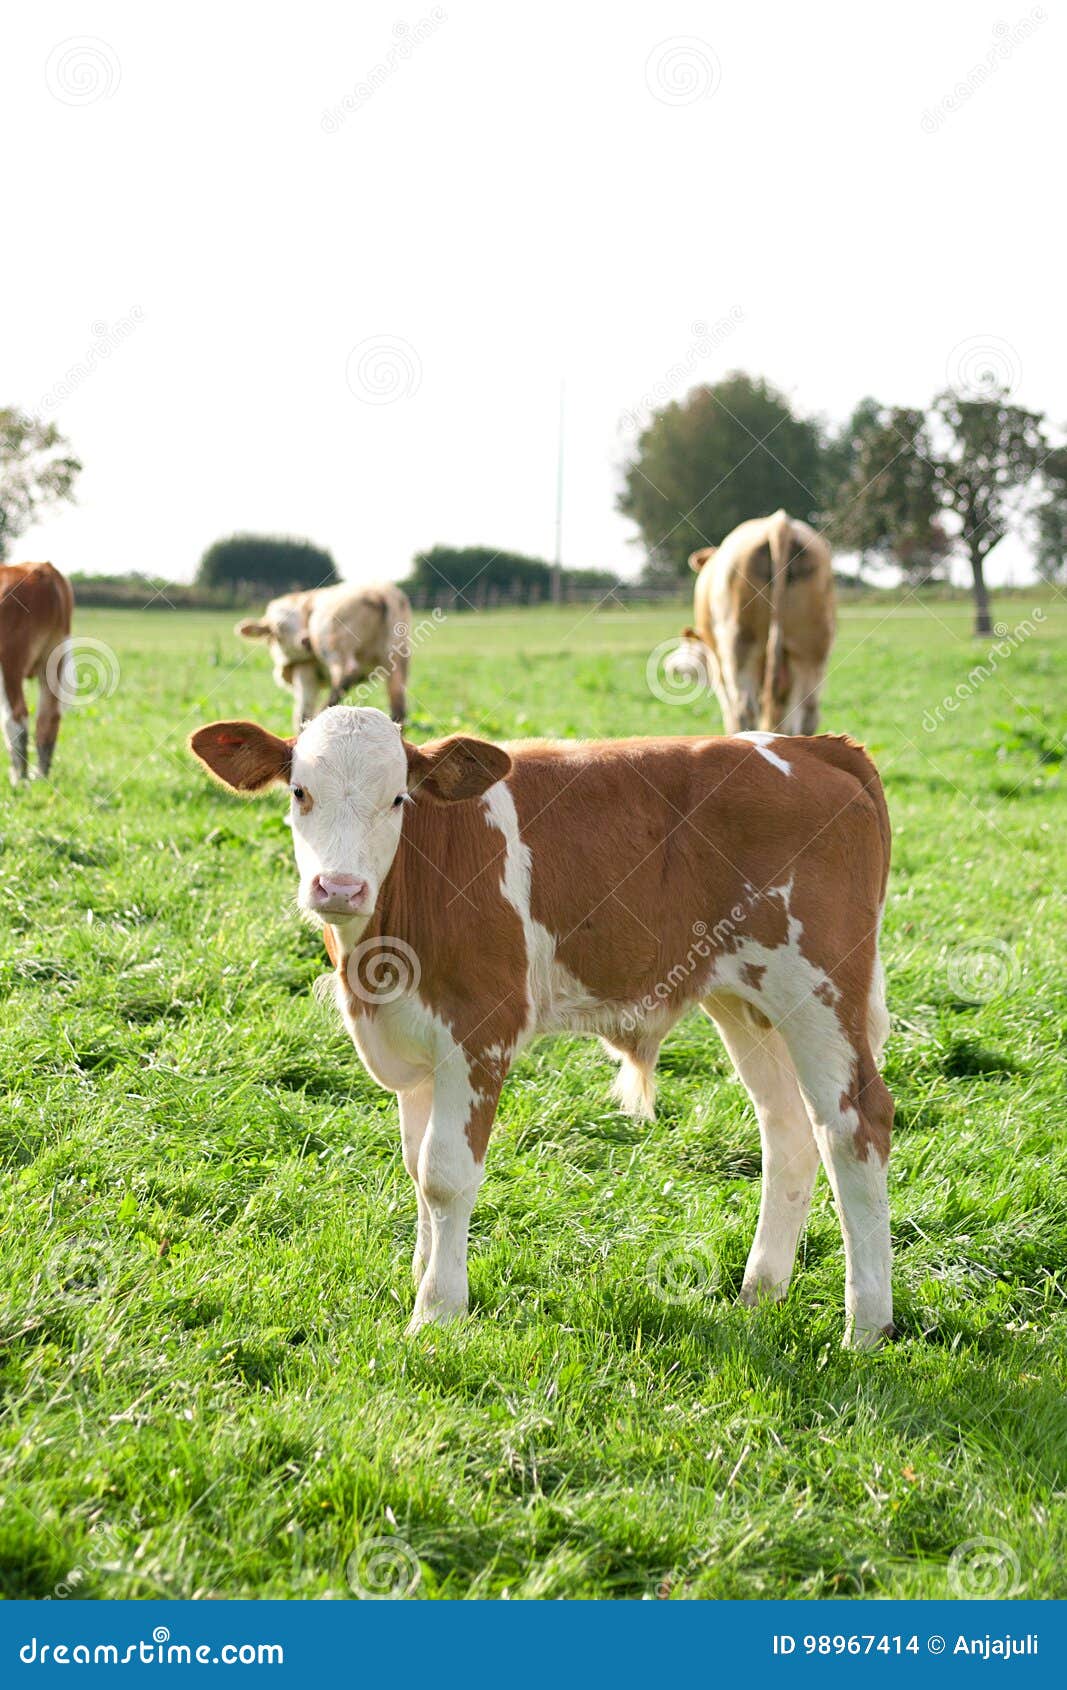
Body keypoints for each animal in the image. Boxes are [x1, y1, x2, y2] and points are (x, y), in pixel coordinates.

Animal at [0, 560, 74, 784]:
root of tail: (43, 569)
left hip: (9, 663)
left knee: (16, 717)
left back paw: (19, 779)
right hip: (52, 661)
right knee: (48, 717)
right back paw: (40, 777)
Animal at [189, 707, 894, 1349]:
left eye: (397, 798)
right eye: (299, 792)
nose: (339, 887)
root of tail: (812, 747)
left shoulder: (480, 1031)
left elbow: (445, 1173)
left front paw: (437, 1311)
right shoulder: (413, 1044)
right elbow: (416, 1165)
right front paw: (421, 1276)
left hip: (820, 987)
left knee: (854, 1124)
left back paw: (866, 1325)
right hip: (747, 1000)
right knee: (788, 1130)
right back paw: (761, 1290)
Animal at [237, 581, 411, 730]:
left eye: (303, 618)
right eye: (278, 628)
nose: (306, 640)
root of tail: (378, 594)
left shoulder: (304, 670)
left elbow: (301, 712)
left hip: (334, 646)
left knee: (346, 674)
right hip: (396, 656)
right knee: (398, 706)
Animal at [668, 511, 836, 736]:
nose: (671, 666)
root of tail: (779, 522)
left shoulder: (719, 670)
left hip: (739, 646)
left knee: (743, 709)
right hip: (811, 649)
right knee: (807, 714)